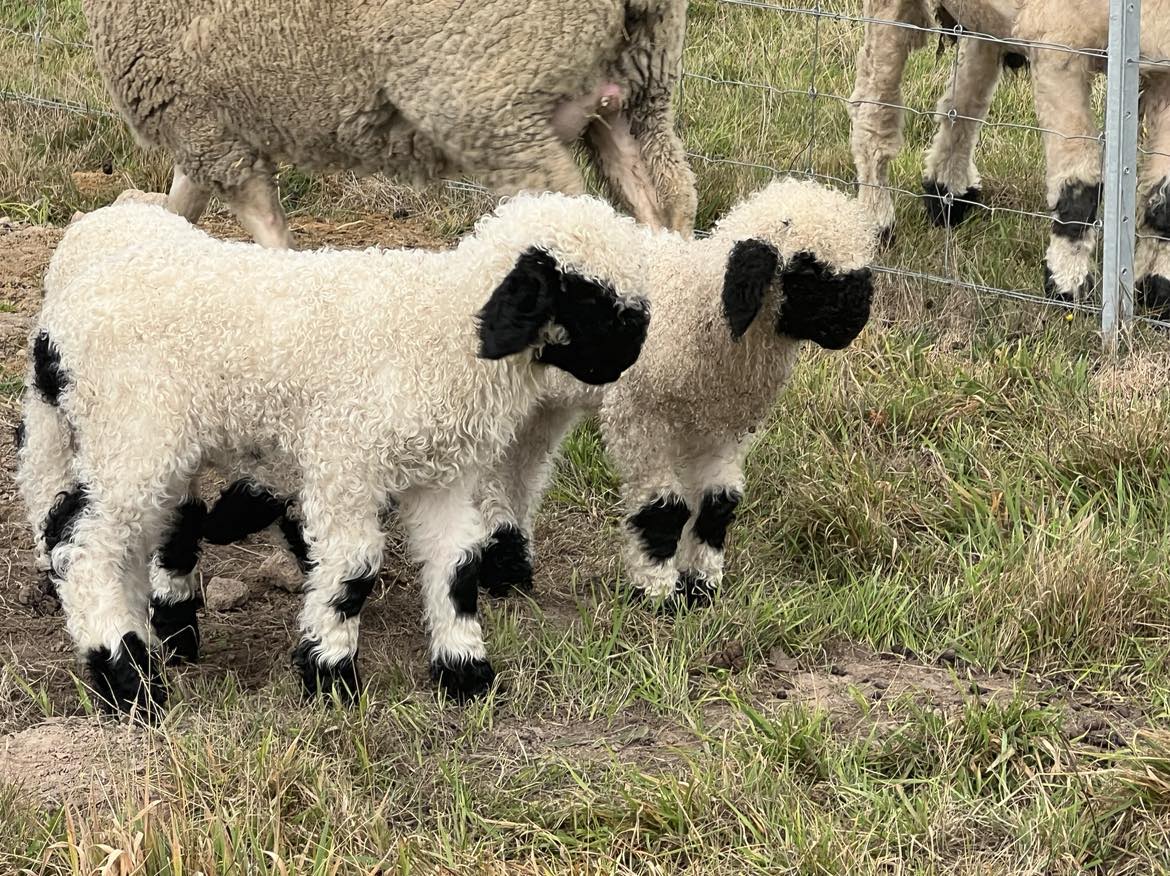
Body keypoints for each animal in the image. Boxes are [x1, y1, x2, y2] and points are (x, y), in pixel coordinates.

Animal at [14, 192, 652, 717]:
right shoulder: (345, 460)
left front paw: (466, 674)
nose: (630, 358)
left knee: (152, 529)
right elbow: (352, 567)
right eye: (594, 299)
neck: (441, 331)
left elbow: (457, 565)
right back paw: (129, 683)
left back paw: (162, 642)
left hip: (148, 443)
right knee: (82, 546)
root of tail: (57, 327)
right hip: (134, 433)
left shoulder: (441, 478)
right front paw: (329, 676)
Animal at [82, 0, 698, 245]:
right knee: (666, 209)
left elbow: (269, 235)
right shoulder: (208, 127)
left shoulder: (201, 128)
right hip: (637, 95)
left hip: (490, 102)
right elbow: (179, 208)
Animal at [473, 178, 876, 606]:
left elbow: (718, 506)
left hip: (546, 401)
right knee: (495, 476)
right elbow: (664, 508)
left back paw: (512, 567)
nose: (853, 324)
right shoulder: (640, 419)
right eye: (805, 270)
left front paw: (701, 587)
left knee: (522, 472)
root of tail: (521, 208)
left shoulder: (722, 429)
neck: (700, 312)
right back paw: (499, 569)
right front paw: (658, 593)